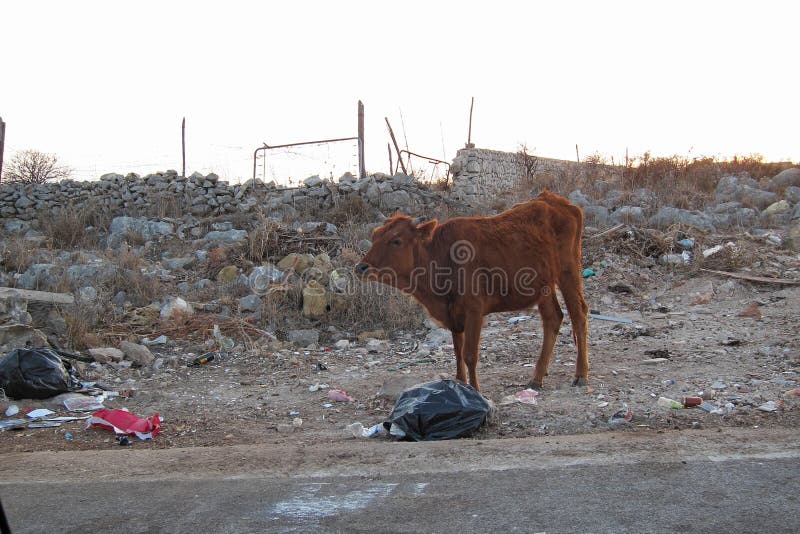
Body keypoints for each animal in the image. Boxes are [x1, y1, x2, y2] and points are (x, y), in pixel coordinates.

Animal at [355, 190, 589, 392]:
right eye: (374, 236)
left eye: (396, 240)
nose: (361, 267)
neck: (442, 257)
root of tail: (551, 198)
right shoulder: (453, 315)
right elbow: (457, 353)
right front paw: (459, 386)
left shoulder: (474, 311)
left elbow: (469, 355)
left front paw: (475, 392)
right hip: (544, 285)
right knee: (553, 318)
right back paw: (537, 377)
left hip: (569, 271)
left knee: (579, 315)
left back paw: (581, 374)